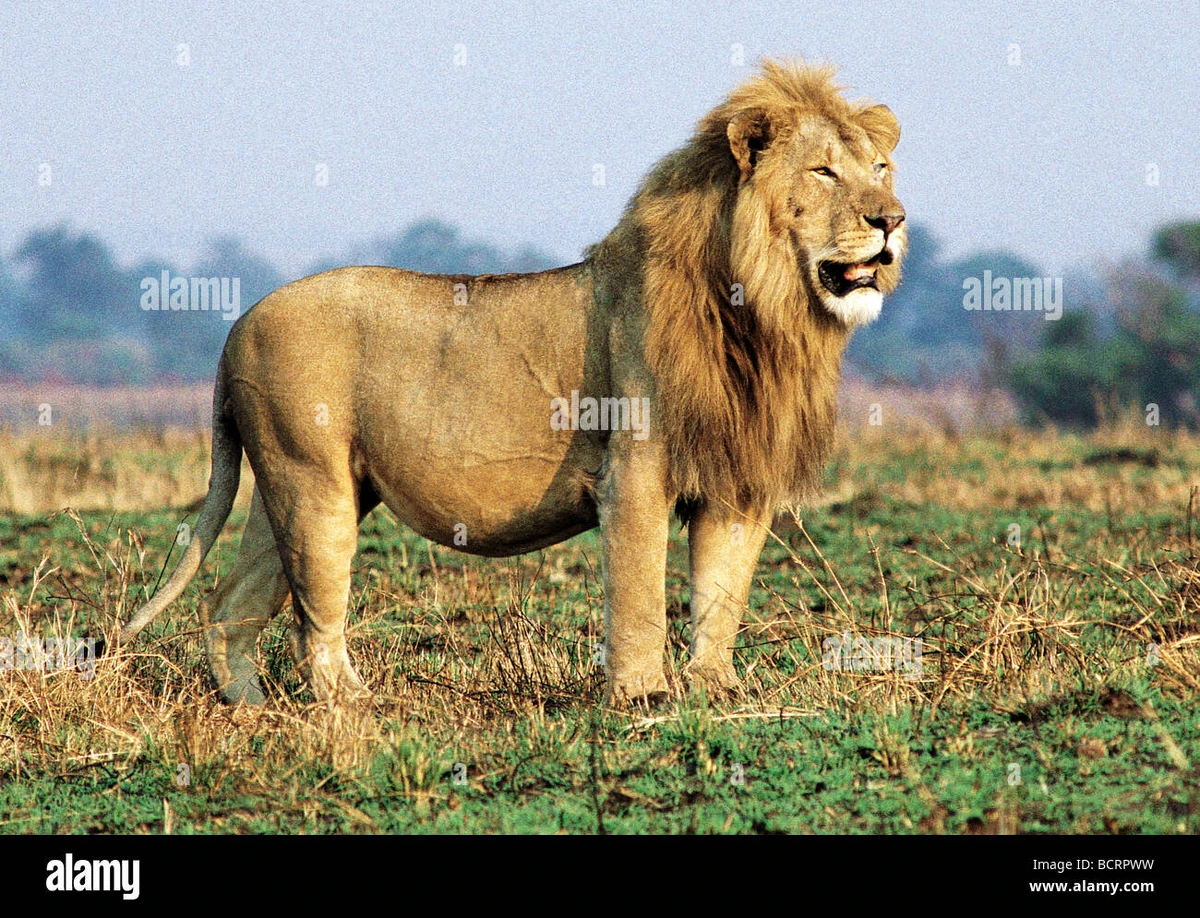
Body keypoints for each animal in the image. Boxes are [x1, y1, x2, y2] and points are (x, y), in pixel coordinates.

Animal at [118, 59, 905, 707]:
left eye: (882, 168)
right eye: (824, 172)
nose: (892, 220)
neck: (766, 313)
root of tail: (237, 324)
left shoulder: (736, 480)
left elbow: (721, 595)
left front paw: (717, 692)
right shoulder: (636, 471)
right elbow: (641, 595)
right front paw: (643, 697)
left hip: (292, 485)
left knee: (229, 605)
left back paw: (250, 710)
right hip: (313, 485)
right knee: (316, 615)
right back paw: (355, 706)